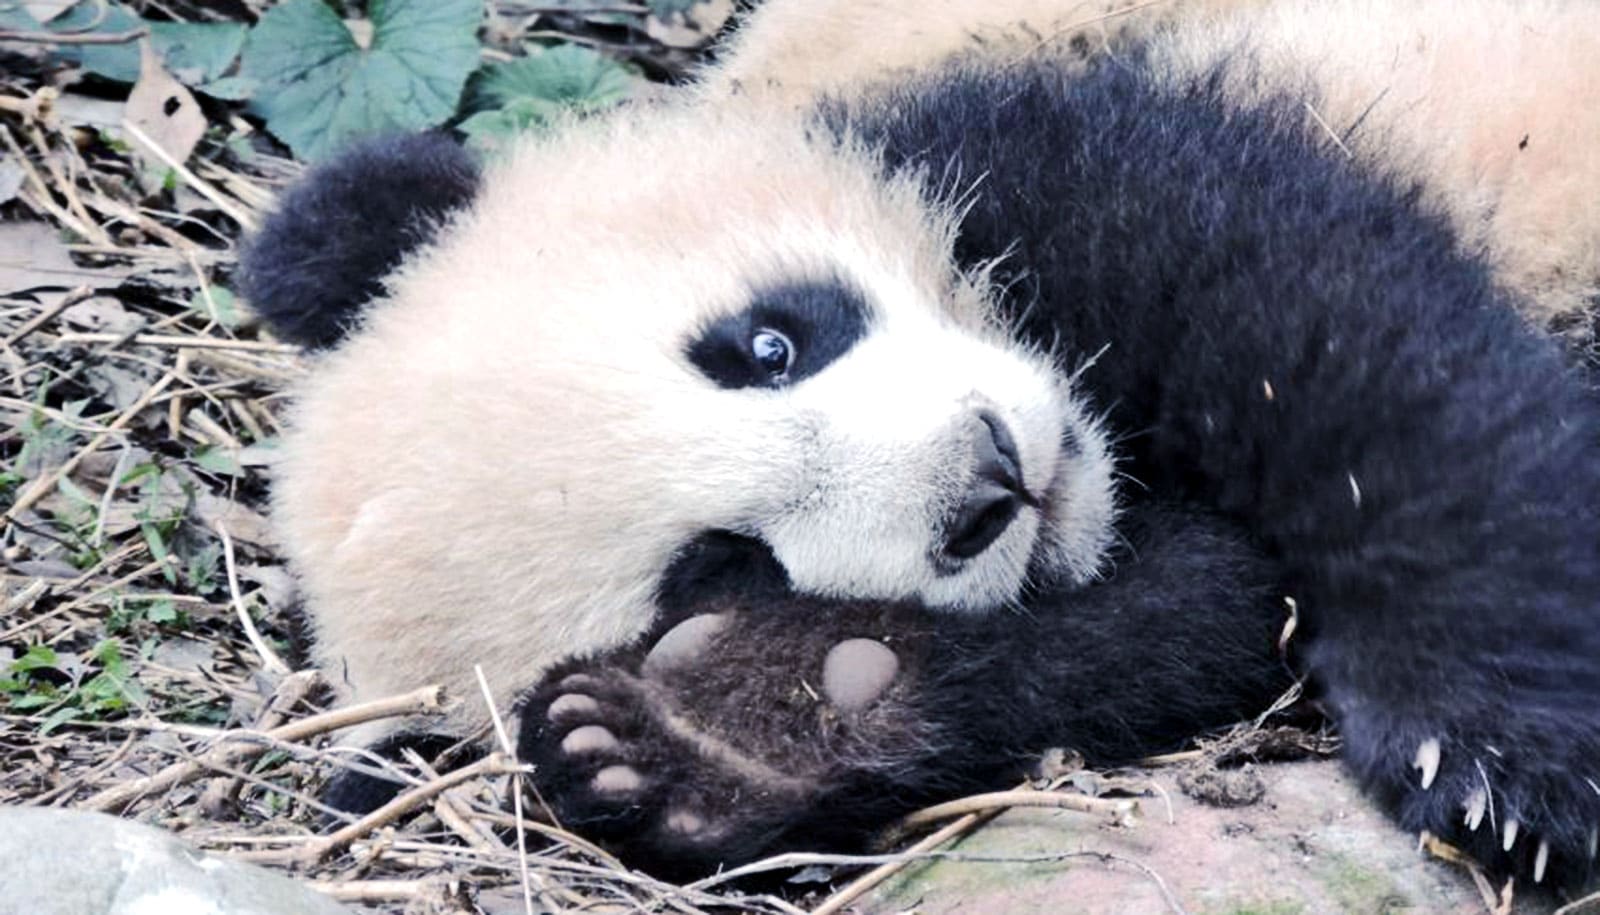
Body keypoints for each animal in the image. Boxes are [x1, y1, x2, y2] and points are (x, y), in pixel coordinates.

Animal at [238, 0, 1600, 890]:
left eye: (765, 344)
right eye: (720, 565)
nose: (990, 479)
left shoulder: (1067, 130)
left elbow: (1350, 350)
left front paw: (1495, 758)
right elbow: (1170, 624)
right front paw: (706, 747)